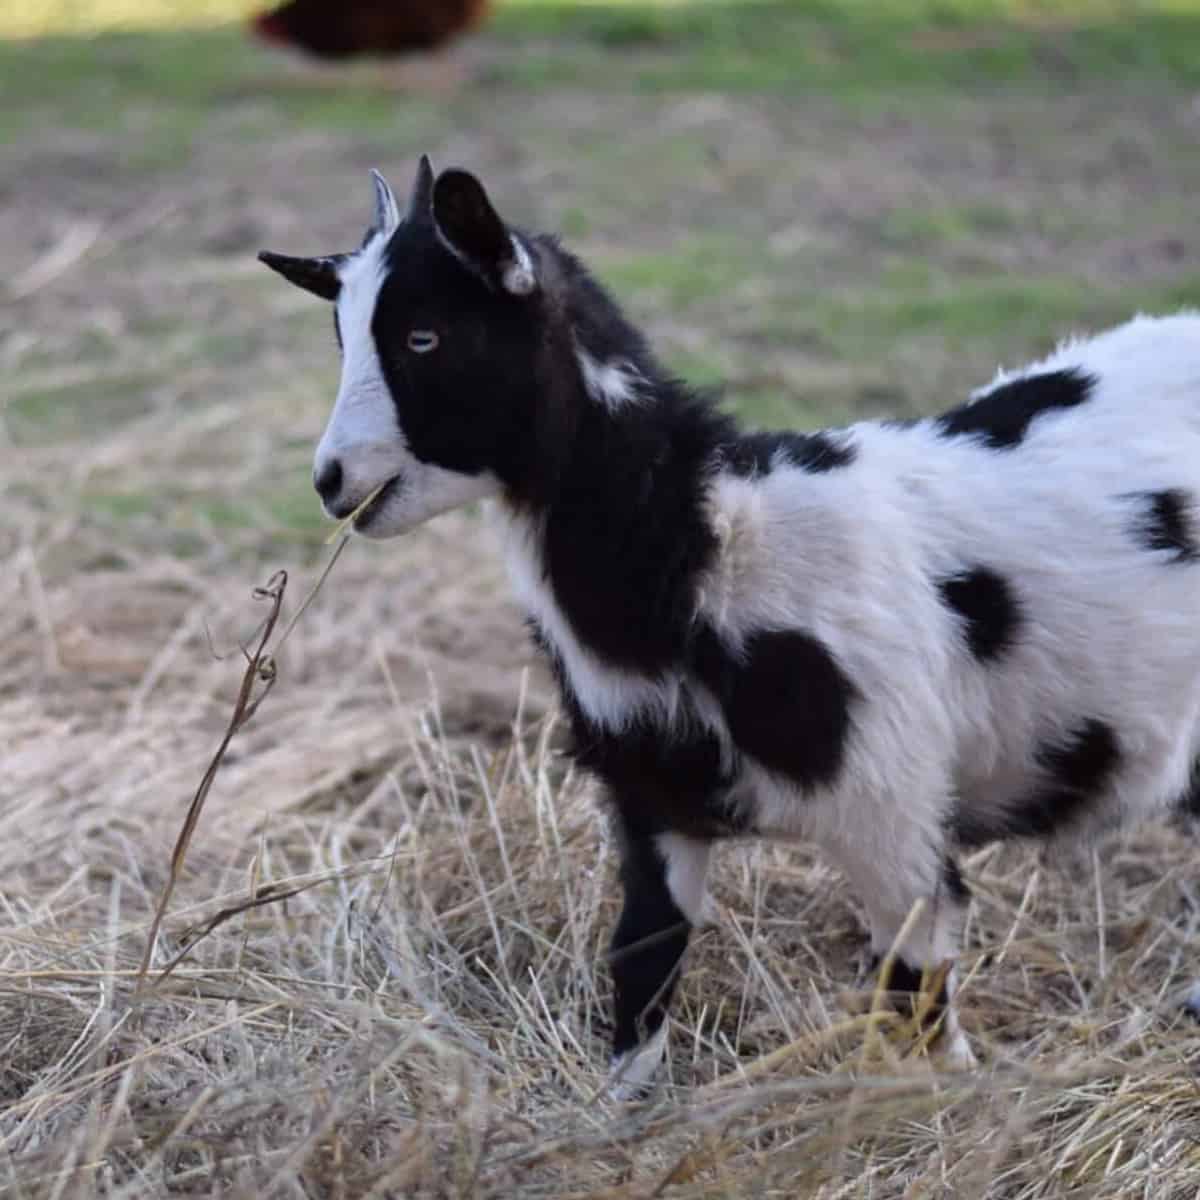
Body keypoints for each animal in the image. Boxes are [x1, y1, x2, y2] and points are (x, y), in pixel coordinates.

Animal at [260, 156, 1200, 1095]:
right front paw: (624, 1109)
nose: (331, 481)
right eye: (343, 336)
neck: (714, 549)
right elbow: (642, 962)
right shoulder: (649, 796)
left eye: (426, 338)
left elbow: (919, 1002)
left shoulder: (893, 811)